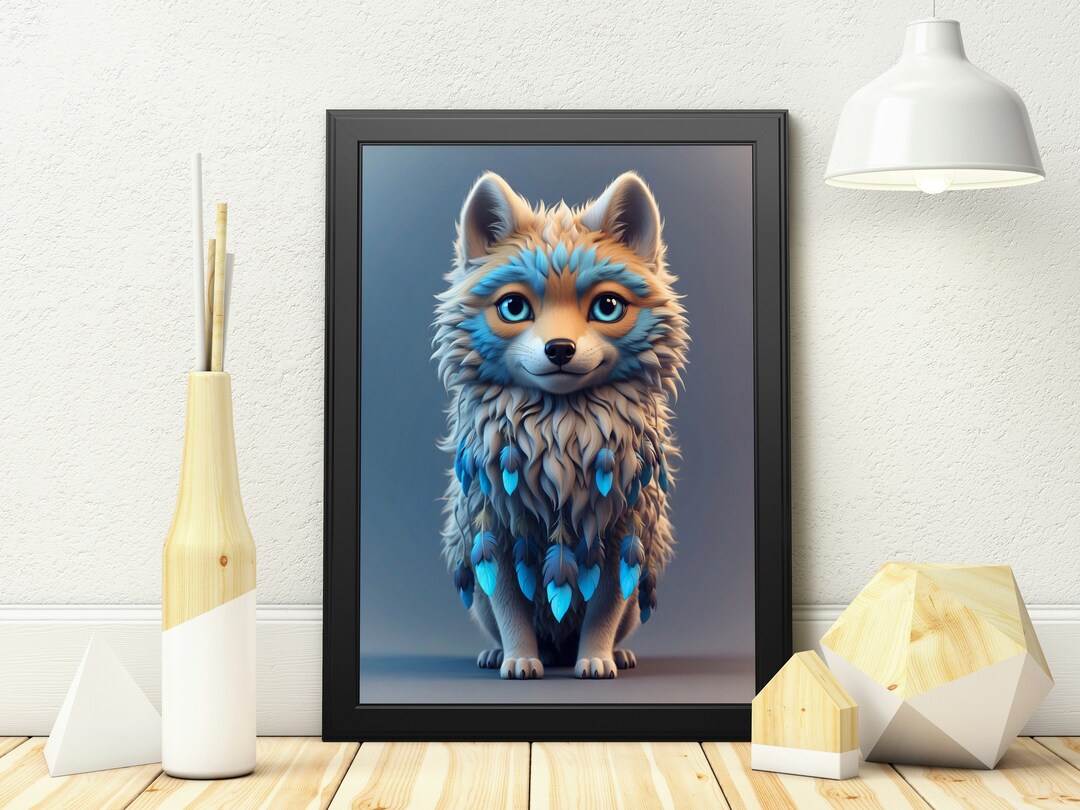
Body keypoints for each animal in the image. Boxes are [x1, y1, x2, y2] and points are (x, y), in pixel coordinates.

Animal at [433, 170, 689, 680]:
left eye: (607, 307)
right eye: (514, 308)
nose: (560, 349)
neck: (561, 432)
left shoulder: (621, 534)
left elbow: (605, 608)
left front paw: (596, 660)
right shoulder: (496, 532)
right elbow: (510, 607)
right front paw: (519, 659)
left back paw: (616, 655)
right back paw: (500, 655)